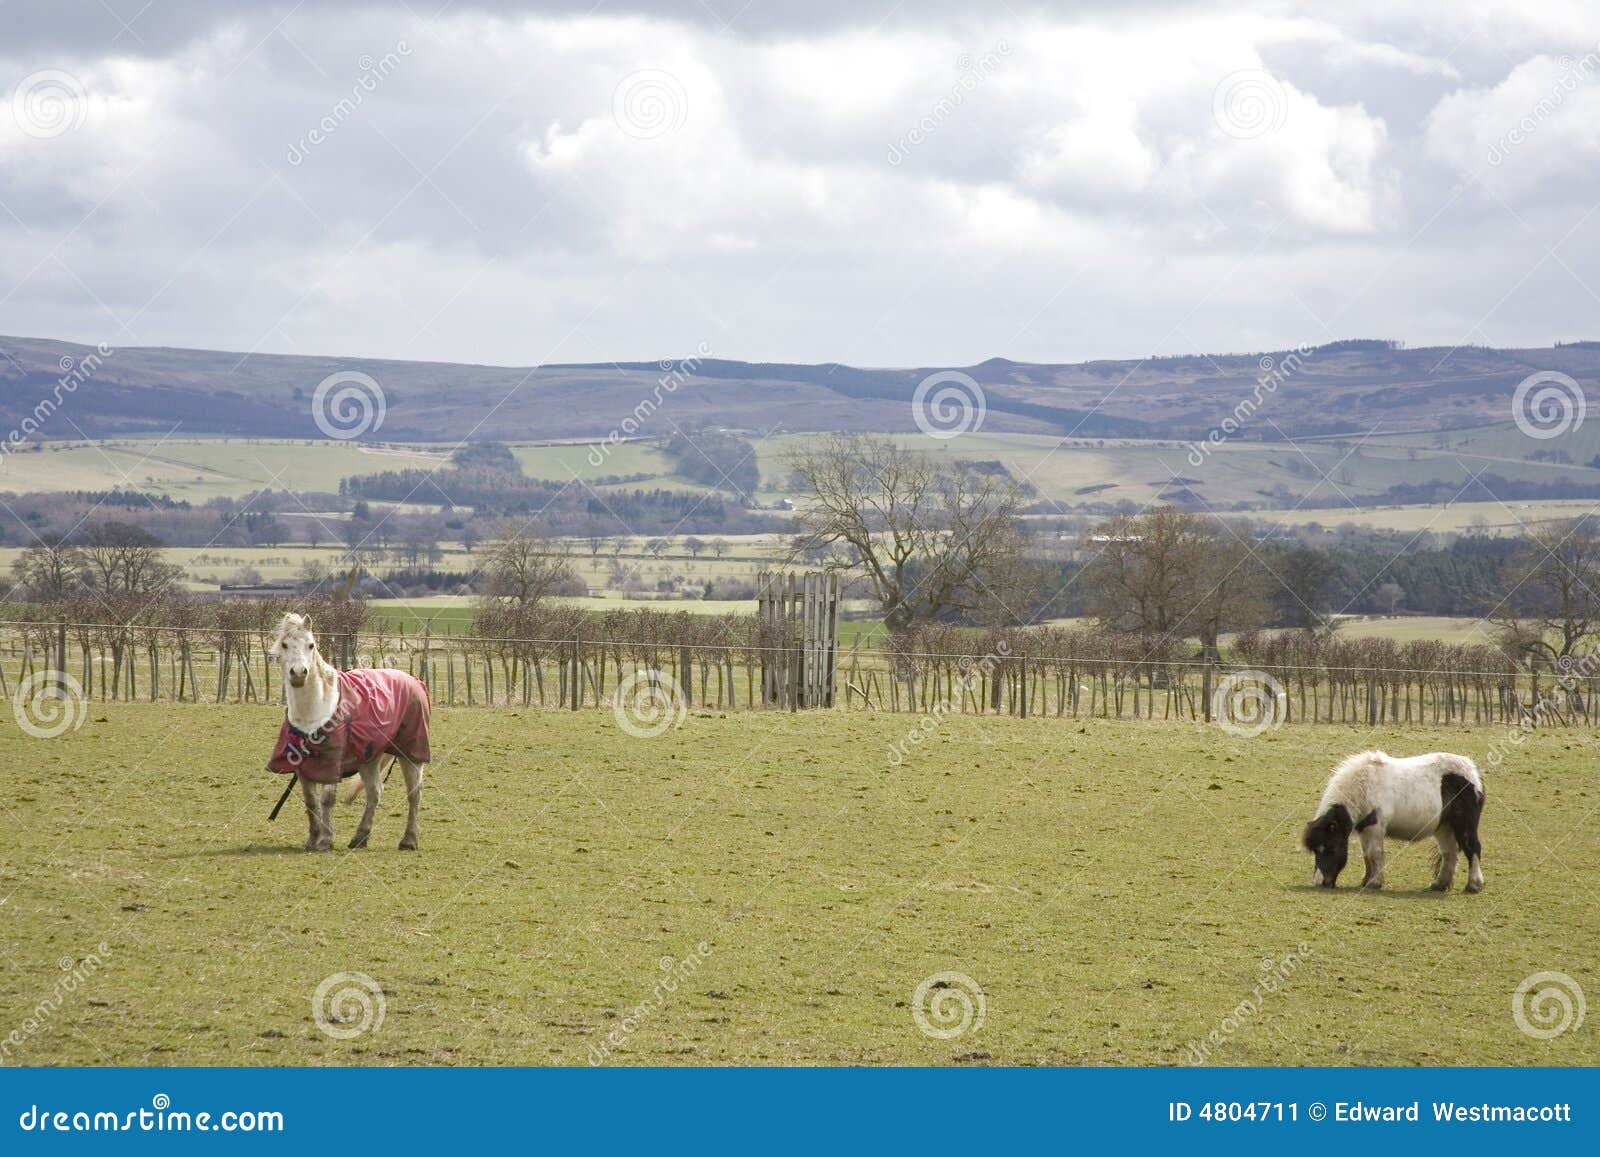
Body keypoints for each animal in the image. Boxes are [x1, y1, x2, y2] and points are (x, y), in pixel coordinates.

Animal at [265, 613, 430, 851]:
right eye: (285, 645)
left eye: (311, 645)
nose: (298, 673)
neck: (315, 710)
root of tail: (415, 681)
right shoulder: (303, 766)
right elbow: (310, 801)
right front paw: (313, 839)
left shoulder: (332, 761)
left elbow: (327, 799)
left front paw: (325, 840)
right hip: (370, 758)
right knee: (374, 792)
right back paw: (360, 837)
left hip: (411, 754)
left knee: (414, 793)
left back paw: (409, 840)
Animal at [1301, 750, 1484, 892]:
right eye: (1315, 851)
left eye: (1330, 848)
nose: (1320, 883)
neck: (1363, 788)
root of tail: (1472, 772)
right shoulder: (1365, 830)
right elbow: (1367, 855)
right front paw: (1366, 881)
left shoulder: (1376, 828)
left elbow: (1375, 853)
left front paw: (1374, 883)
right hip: (1444, 827)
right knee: (1449, 853)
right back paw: (1439, 885)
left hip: (1464, 824)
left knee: (1472, 848)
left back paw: (1473, 885)